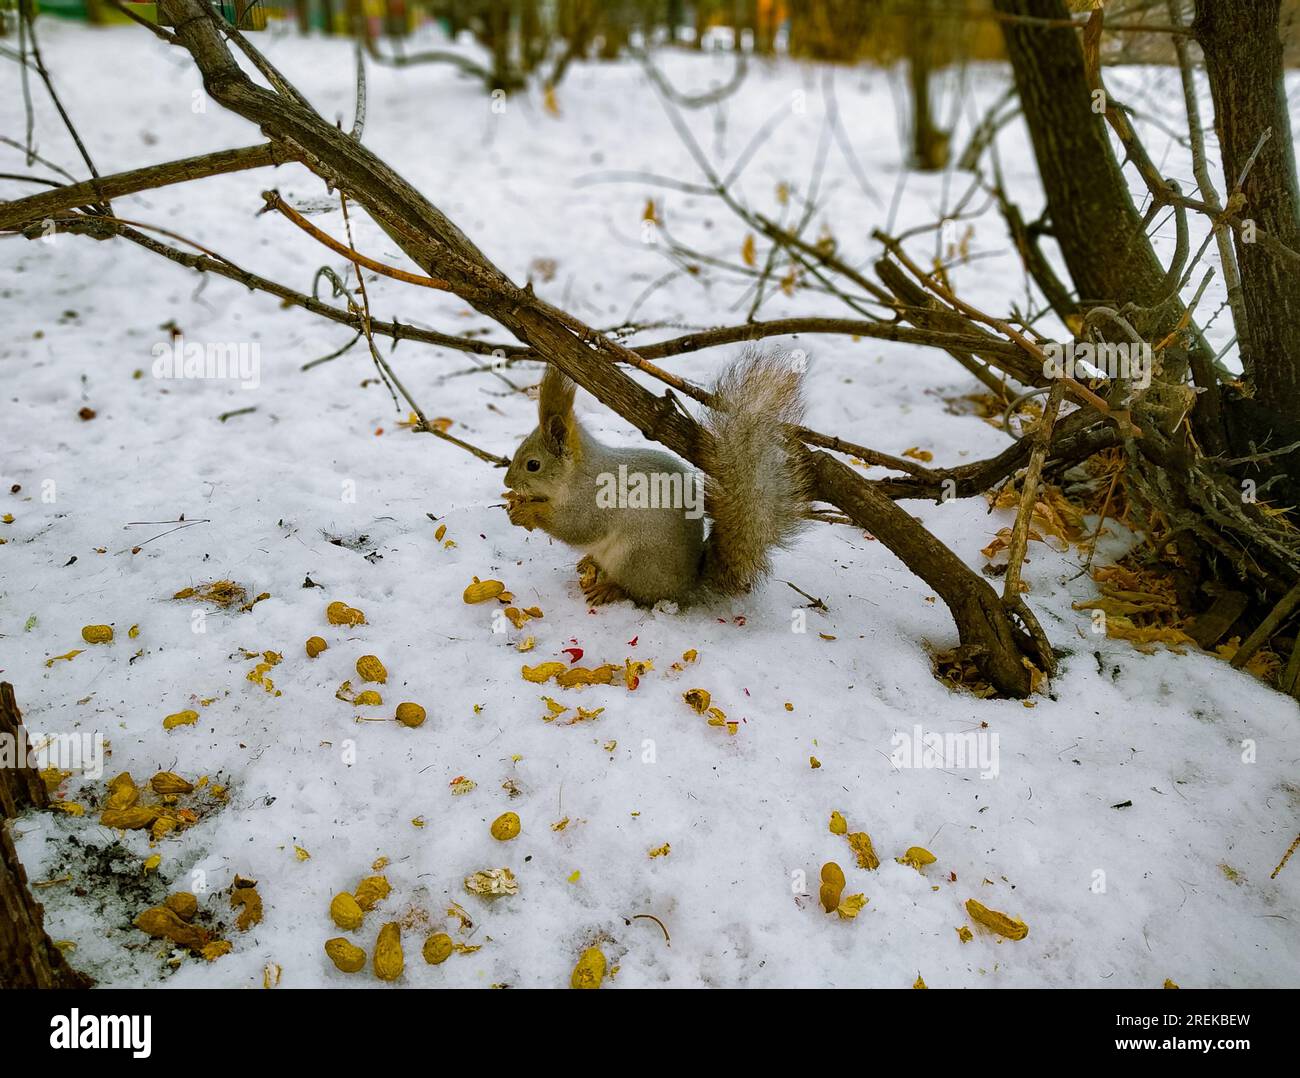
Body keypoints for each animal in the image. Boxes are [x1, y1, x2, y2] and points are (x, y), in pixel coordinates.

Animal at [503, 349, 811, 607]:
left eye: (533, 464)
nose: (507, 483)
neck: (576, 475)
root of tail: (686, 585)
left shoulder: (591, 502)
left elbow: (575, 528)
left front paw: (528, 513)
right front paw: (515, 503)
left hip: (635, 558)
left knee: (639, 594)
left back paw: (611, 588)